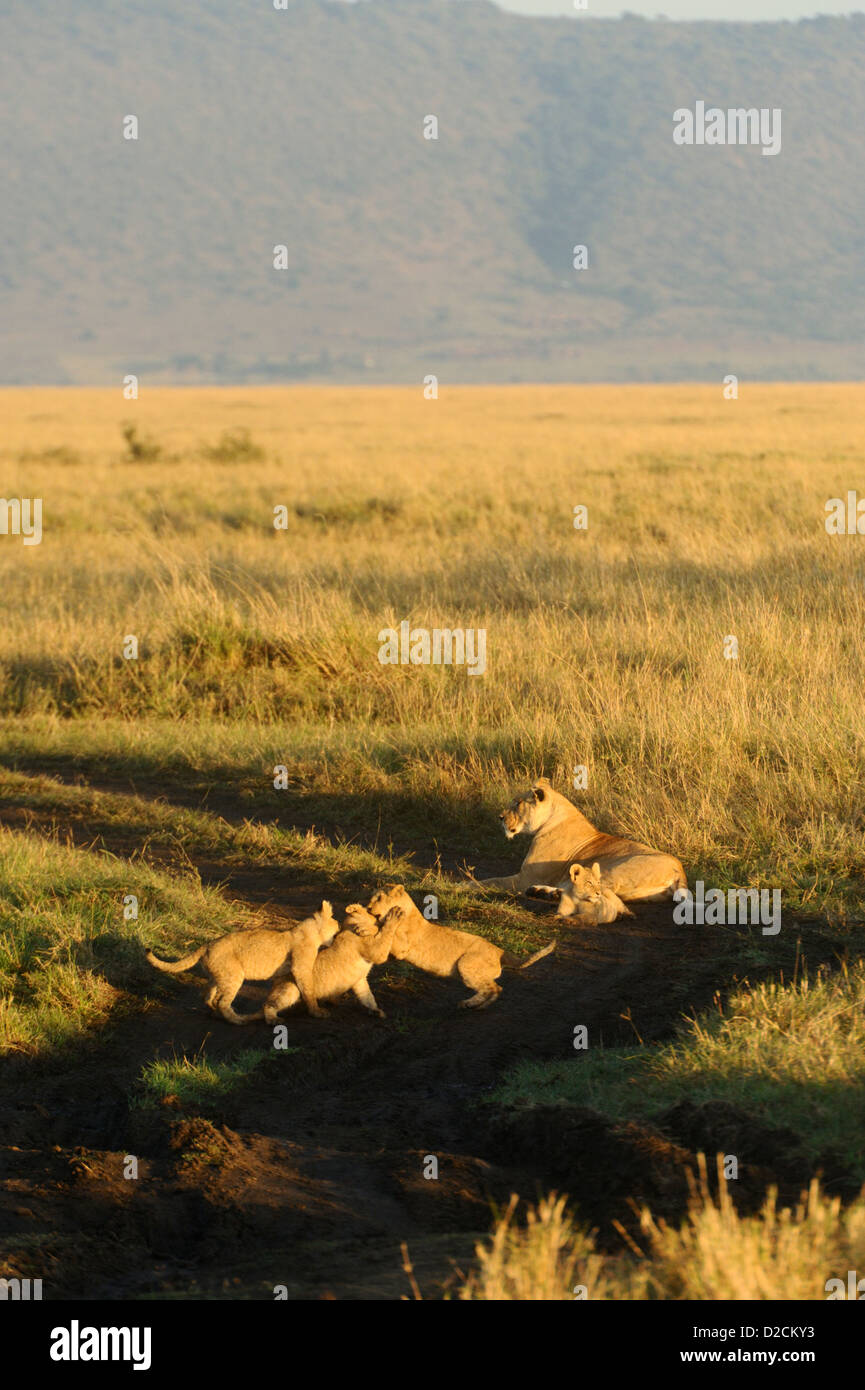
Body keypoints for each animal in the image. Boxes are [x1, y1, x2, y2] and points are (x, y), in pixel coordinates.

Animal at [146, 901, 338, 1024]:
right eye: (337, 926)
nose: (338, 935)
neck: (312, 931)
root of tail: (207, 944)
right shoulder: (301, 968)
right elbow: (308, 990)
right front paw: (317, 1012)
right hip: (233, 975)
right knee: (221, 1001)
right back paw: (237, 1020)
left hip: (217, 976)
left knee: (208, 996)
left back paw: (216, 1014)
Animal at [251, 904, 405, 1023]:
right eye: (370, 910)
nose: (377, 913)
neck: (351, 924)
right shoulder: (374, 950)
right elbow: (385, 936)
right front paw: (395, 915)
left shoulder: (359, 980)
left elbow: (367, 996)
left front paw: (376, 1011)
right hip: (291, 988)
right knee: (267, 1005)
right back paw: (274, 1019)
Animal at [366, 885, 555, 1009]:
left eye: (379, 898)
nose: (367, 907)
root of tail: (500, 950)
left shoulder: (402, 946)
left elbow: (384, 930)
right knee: (496, 989)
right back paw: (478, 1005)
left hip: (466, 964)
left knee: (493, 988)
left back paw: (469, 1004)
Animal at [478, 778, 687, 903]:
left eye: (517, 803)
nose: (500, 817)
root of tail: (680, 871)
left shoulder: (526, 877)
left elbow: (490, 881)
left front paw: (468, 885)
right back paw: (544, 892)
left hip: (614, 869)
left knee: (598, 891)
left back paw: (547, 892)